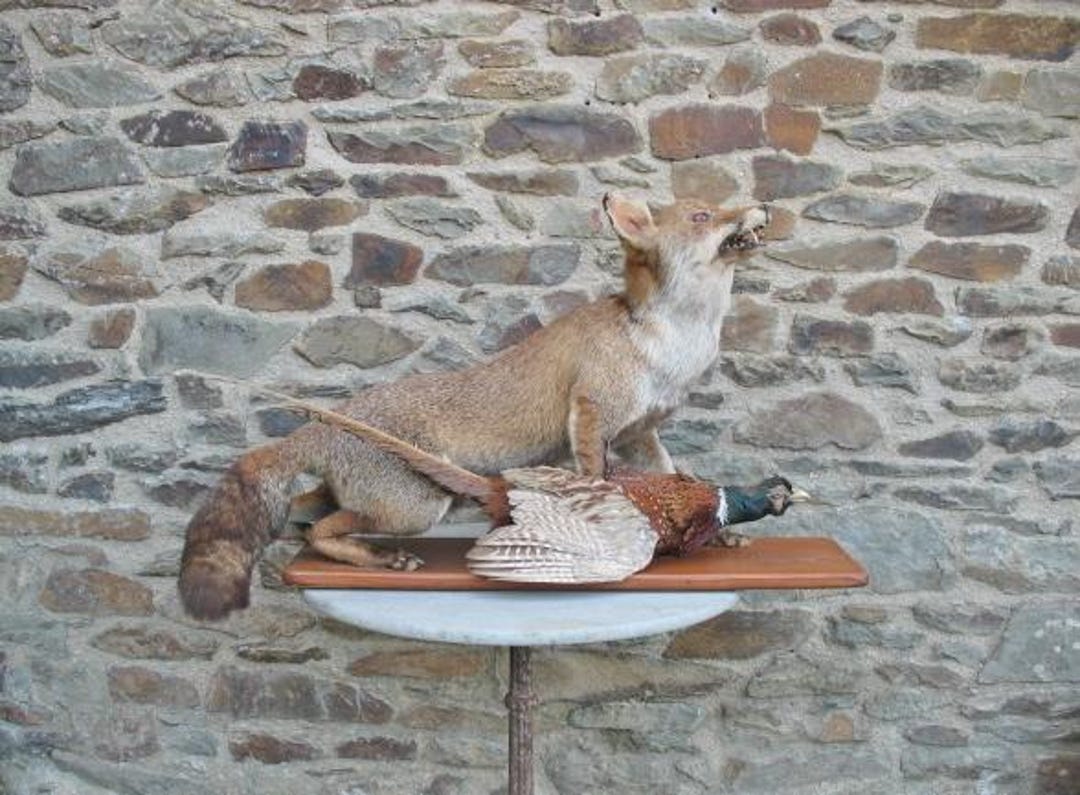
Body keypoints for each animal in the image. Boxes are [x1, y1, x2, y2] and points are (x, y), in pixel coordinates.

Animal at [178, 193, 772, 620]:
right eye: (703, 215)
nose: (762, 205)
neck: (673, 345)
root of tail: (327, 424)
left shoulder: (640, 435)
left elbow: (678, 479)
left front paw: (720, 531)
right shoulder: (591, 416)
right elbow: (600, 485)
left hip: (364, 499)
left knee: (301, 520)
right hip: (415, 508)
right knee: (322, 530)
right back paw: (383, 559)